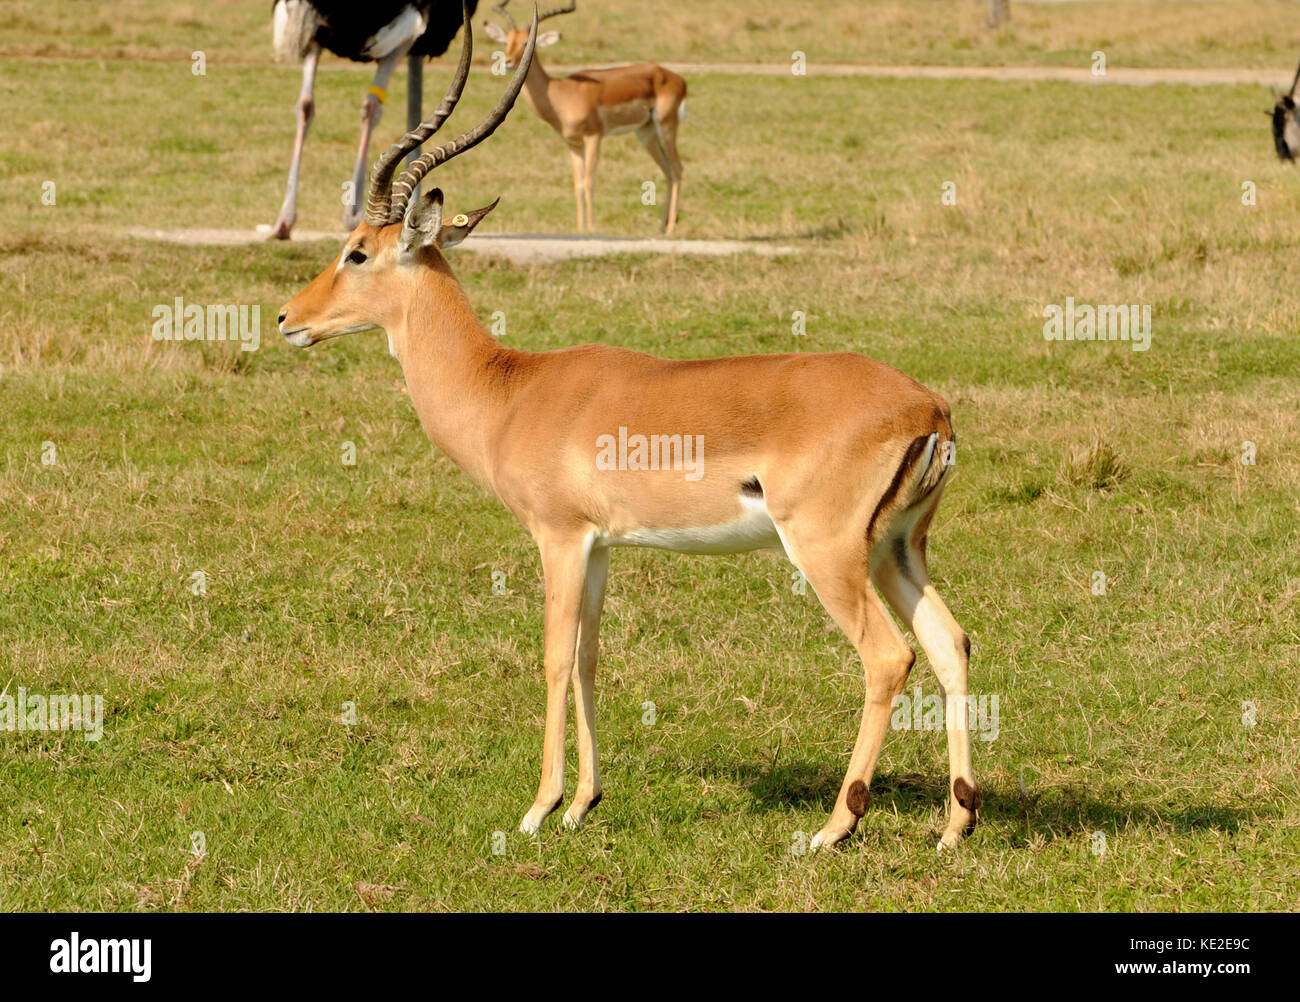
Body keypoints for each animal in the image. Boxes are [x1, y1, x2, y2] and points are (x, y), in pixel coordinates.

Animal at [483, 1, 686, 234]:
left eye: (526, 41)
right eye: (507, 41)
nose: (507, 62)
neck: (561, 93)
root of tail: (676, 78)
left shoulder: (594, 137)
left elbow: (589, 180)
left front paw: (592, 228)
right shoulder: (573, 144)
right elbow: (577, 183)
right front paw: (580, 229)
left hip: (666, 126)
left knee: (678, 169)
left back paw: (670, 229)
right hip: (646, 134)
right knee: (668, 171)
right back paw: (661, 227)